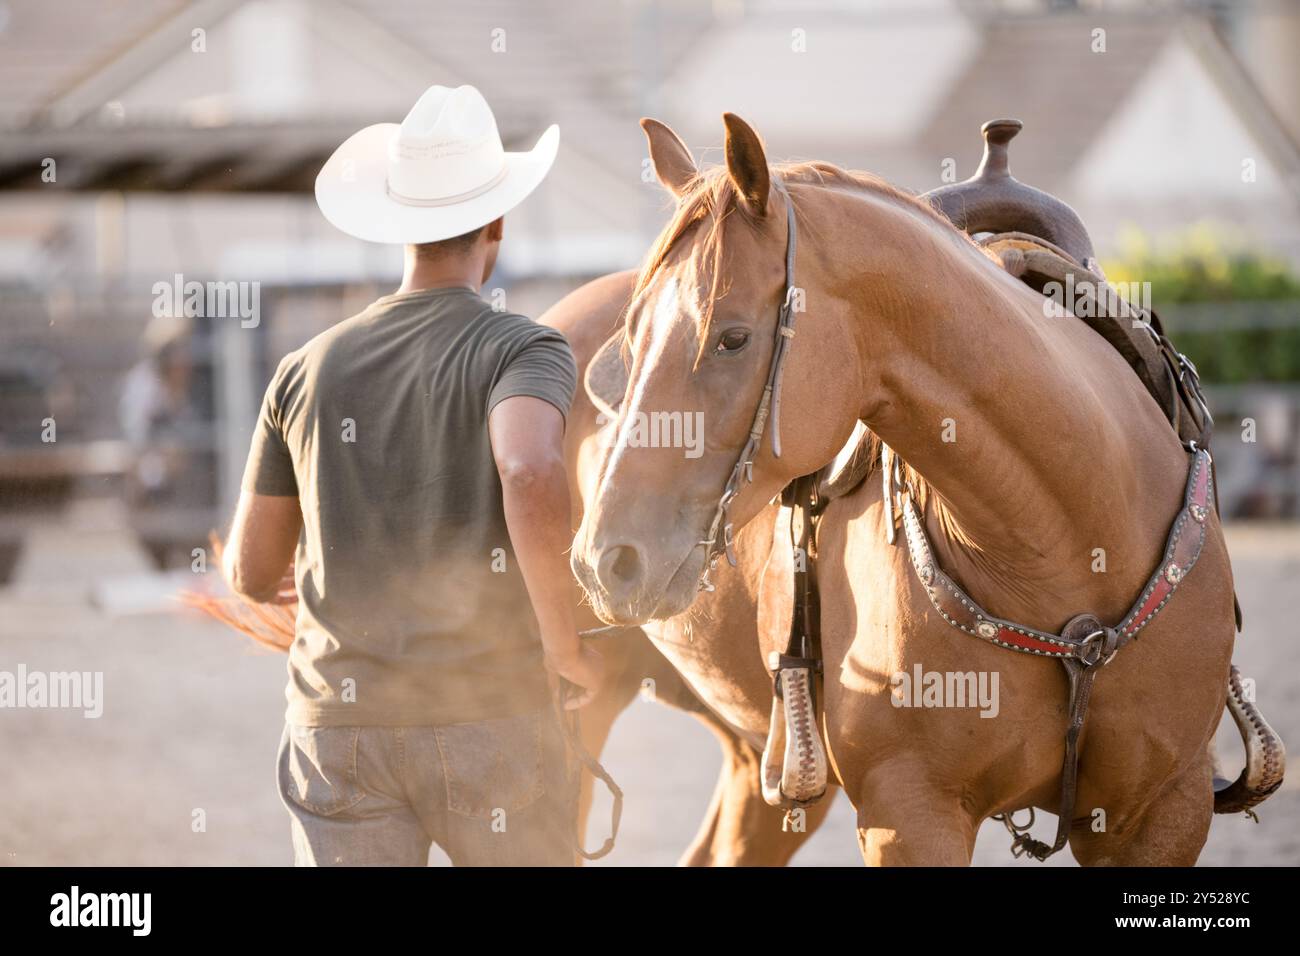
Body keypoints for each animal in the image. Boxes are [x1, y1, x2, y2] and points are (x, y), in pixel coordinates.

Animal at [570, 112, 1283, 865]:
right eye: (632, 337)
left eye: (731, 338)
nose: (605, 560)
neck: (1072, 545)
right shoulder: (910, 815)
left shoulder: (1161, 810)